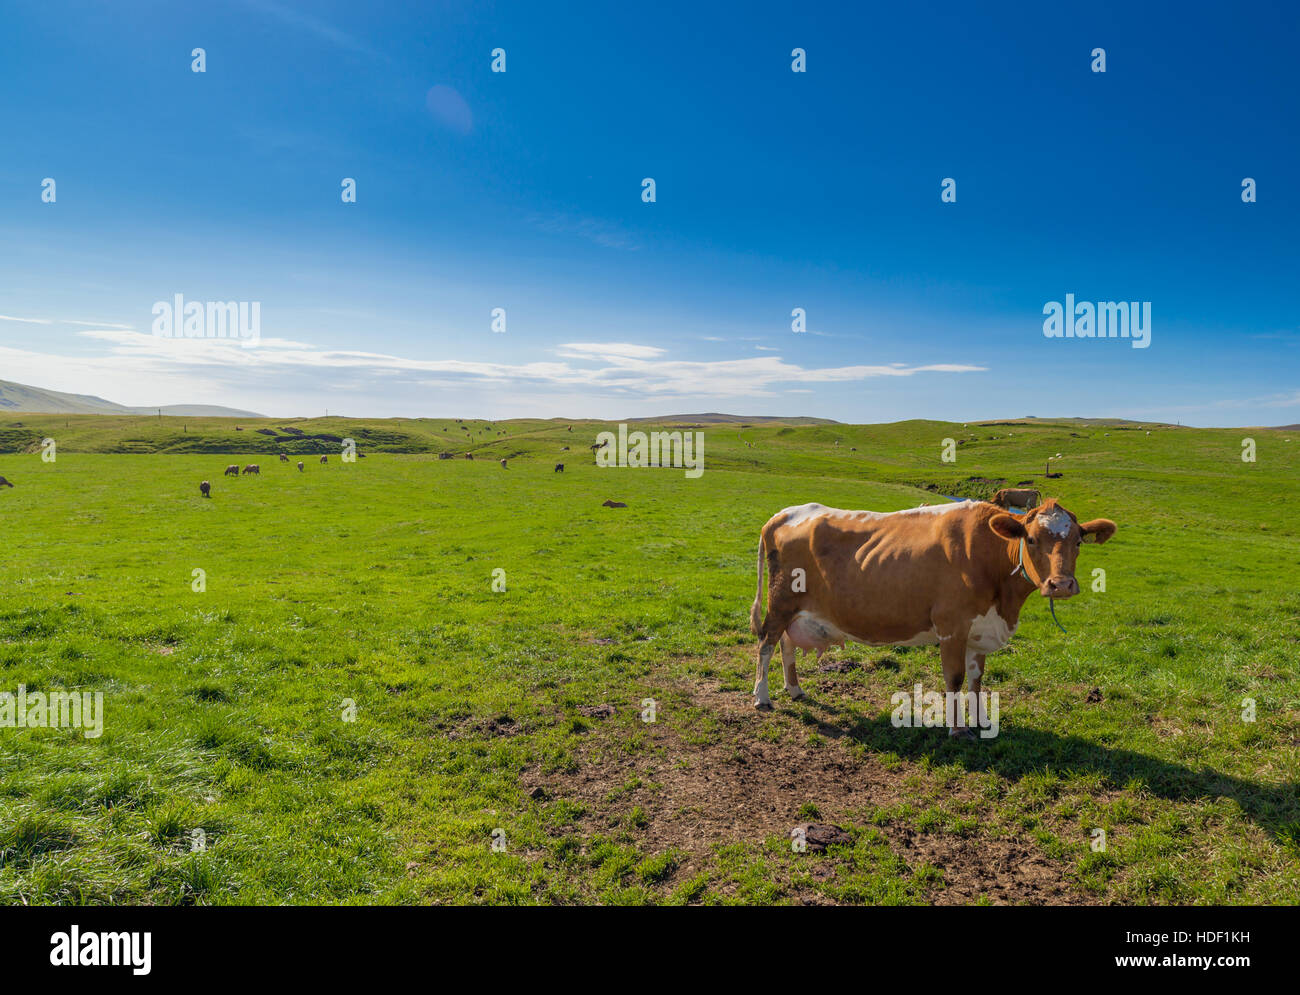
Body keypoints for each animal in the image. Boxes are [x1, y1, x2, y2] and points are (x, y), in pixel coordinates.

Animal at [748, 499, 1115, 736]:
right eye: (1033, 539)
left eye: (1078, 541)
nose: (1061, 584)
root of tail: (784, 513)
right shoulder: (952, 626)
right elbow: (954, 678)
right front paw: (957, 729)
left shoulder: (980, 629)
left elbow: (977, 679)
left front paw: (981, 720)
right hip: (780, 603)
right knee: (766, 645)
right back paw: (762, 697)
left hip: (795, 611)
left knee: (786, 646)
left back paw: (795, 690)